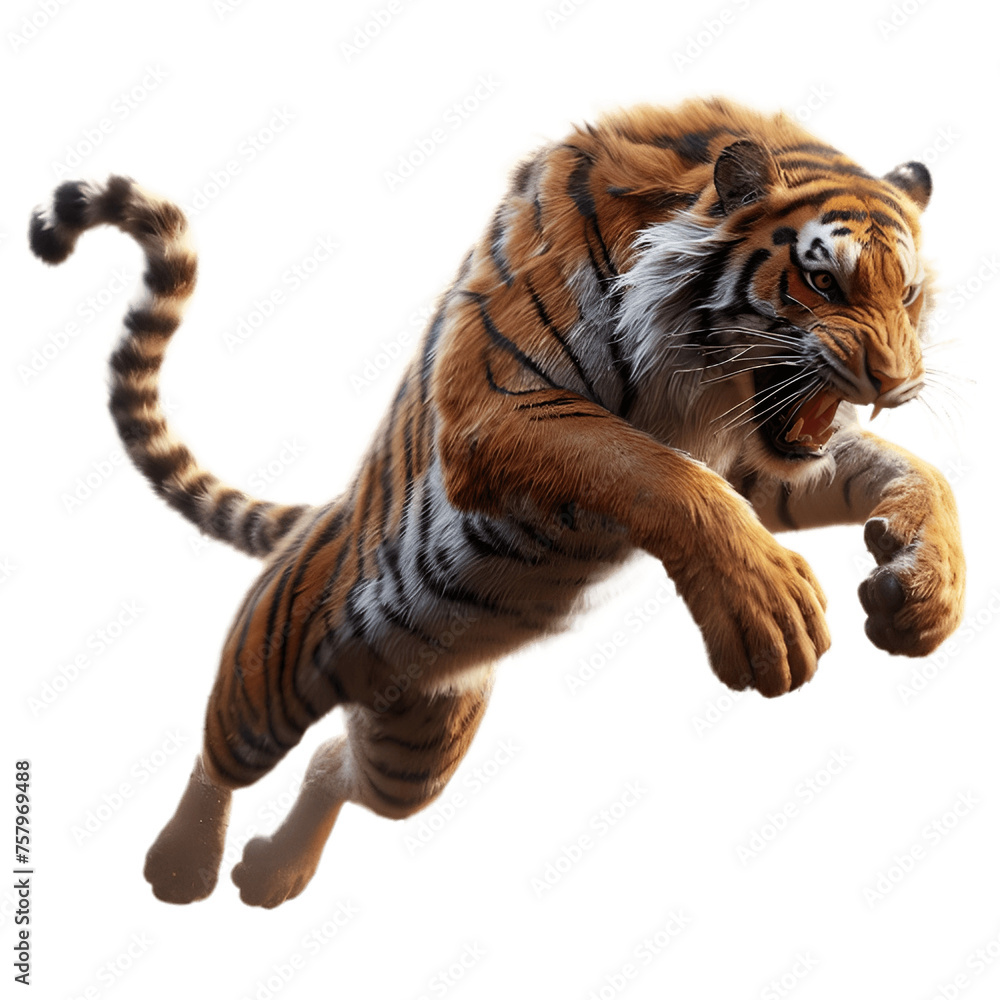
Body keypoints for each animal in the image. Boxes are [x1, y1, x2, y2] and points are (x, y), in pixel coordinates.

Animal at [29, 96, 965, 909]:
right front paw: (768, 612)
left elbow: (919, 474)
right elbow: (654, 470)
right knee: (218, 757)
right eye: (823, 283)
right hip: (271, 671)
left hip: (419, 742)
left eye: (908, 293)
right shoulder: (496, 409)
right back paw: (180, 866)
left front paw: (927, 593)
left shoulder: (757, 467)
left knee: (336, 764)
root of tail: (328, 513)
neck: (695, 381)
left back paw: (270, 874)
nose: (897, 381)